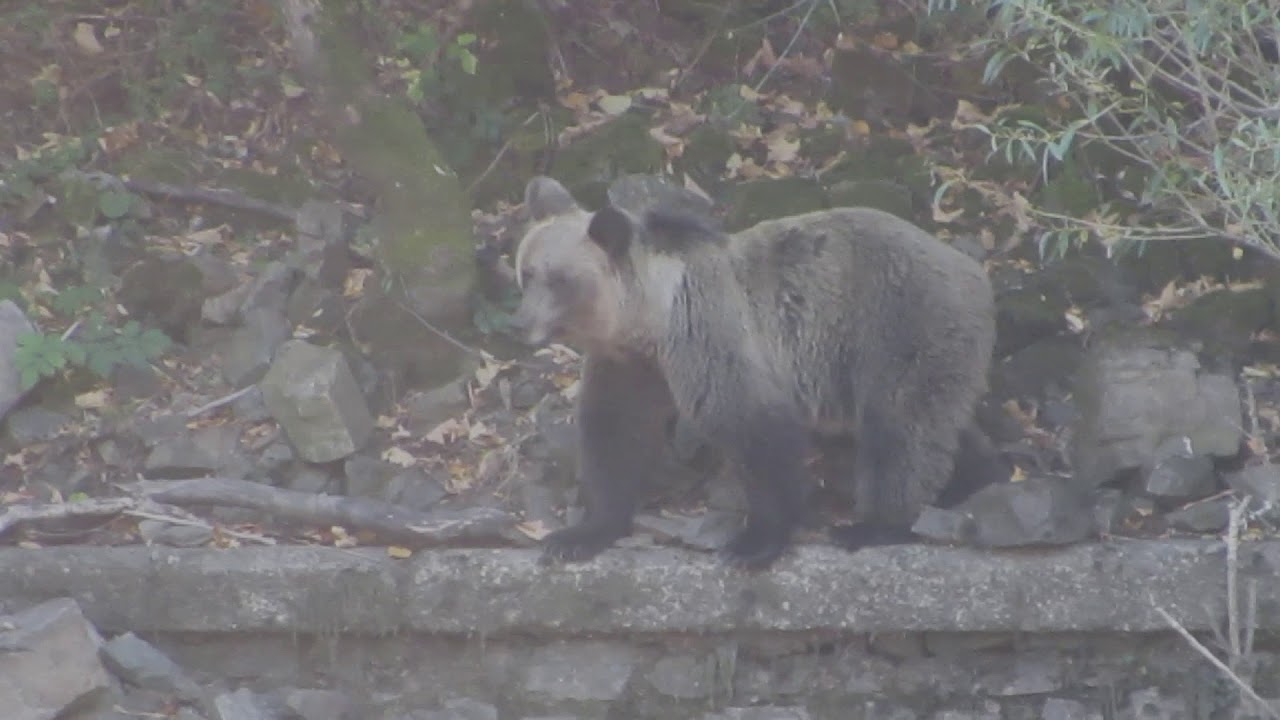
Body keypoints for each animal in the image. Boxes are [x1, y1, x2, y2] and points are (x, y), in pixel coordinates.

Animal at [512, 176, 998, 569]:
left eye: (558, 279)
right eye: (526, 271)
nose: (522, 325)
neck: (650, 318)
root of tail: (973, 270)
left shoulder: (709, 335)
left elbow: (752, 428)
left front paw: (751, 544)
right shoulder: (630, 364)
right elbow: (613, 435)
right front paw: (576, 536)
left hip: (899, 325)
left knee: (899, 429)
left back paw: (873, 524)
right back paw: (972, 477)